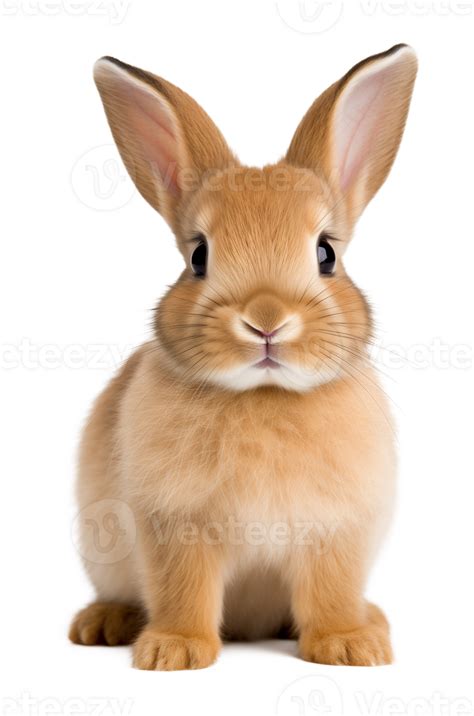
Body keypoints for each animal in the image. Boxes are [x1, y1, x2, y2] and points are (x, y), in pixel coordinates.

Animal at [69, 44, 417, 670]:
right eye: (198, 257)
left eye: (326, 254)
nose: (266, 320)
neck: (264, 394)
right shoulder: (176, 526)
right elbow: (184, 590)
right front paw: (174, 653)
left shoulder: (336, 531)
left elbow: (330, 591)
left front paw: (349, 647)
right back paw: (104, 623)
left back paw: (372, 622)